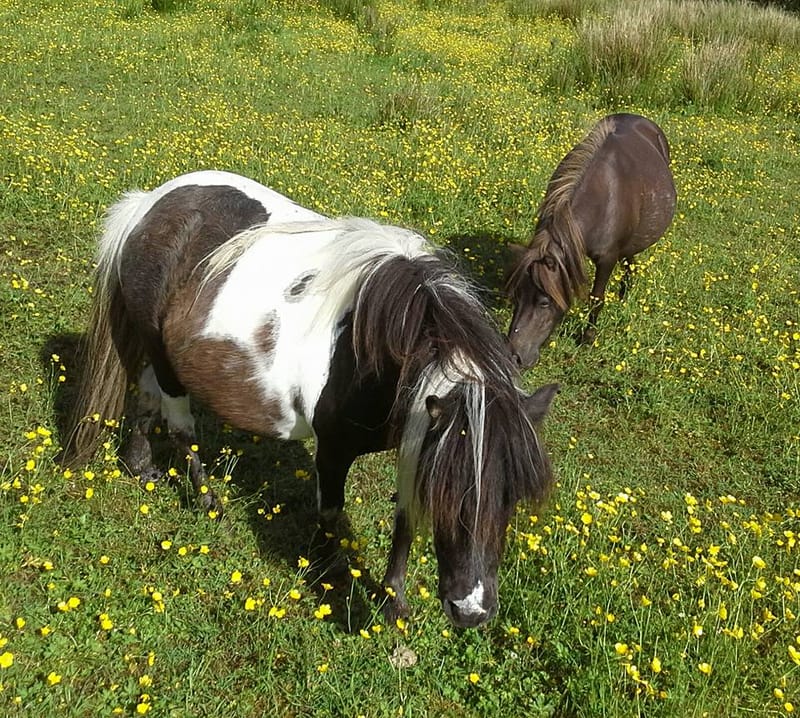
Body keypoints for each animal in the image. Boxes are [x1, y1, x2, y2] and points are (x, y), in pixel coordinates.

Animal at [63, 170, 559, 628]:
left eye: (511, 496)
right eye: (450, 495)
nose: (471, 611)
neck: (381, 346)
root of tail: (146, 206)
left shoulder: (420, 436)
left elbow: (404, 520)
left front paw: (392, 601)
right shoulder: (336, 447)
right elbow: (331, 510)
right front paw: (327, 570)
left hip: (159, 353)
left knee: (145, 396)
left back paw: (140, 465)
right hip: (166, 363)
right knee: (181, 429)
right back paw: (208, 502)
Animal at [506, 113, 677, 367]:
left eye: (544, 302)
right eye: (517, 295)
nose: (514, 357)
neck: (602, 202)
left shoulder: (607, 259)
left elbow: (596, 298)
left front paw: (587, 338)